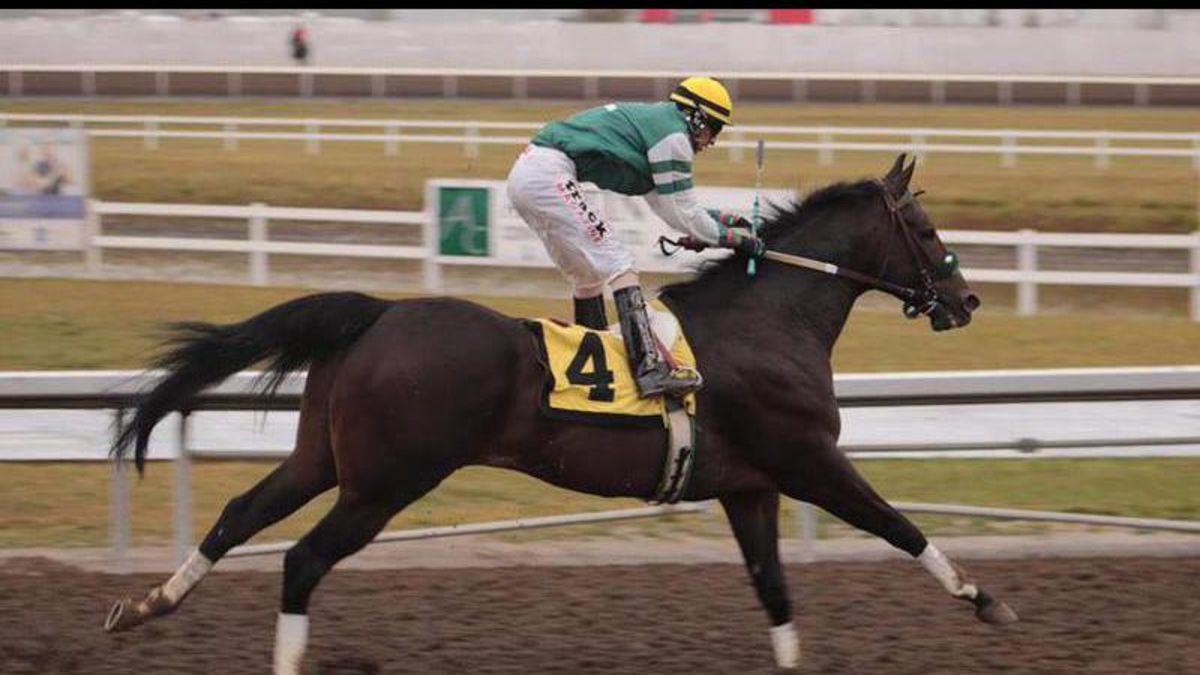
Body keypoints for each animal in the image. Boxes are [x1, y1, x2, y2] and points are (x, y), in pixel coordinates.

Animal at [103, 154, 1015, 673]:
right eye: (924, 226)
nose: (968, 299)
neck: (771, 318)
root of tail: (379, 312)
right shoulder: (808, 459)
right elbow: (899, 526)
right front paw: (985, 600)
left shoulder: (748, 486)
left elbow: (774, 588)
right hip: (386, 481)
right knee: (301, 560)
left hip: (324, 458)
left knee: (238, 513)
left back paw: (147, 604)